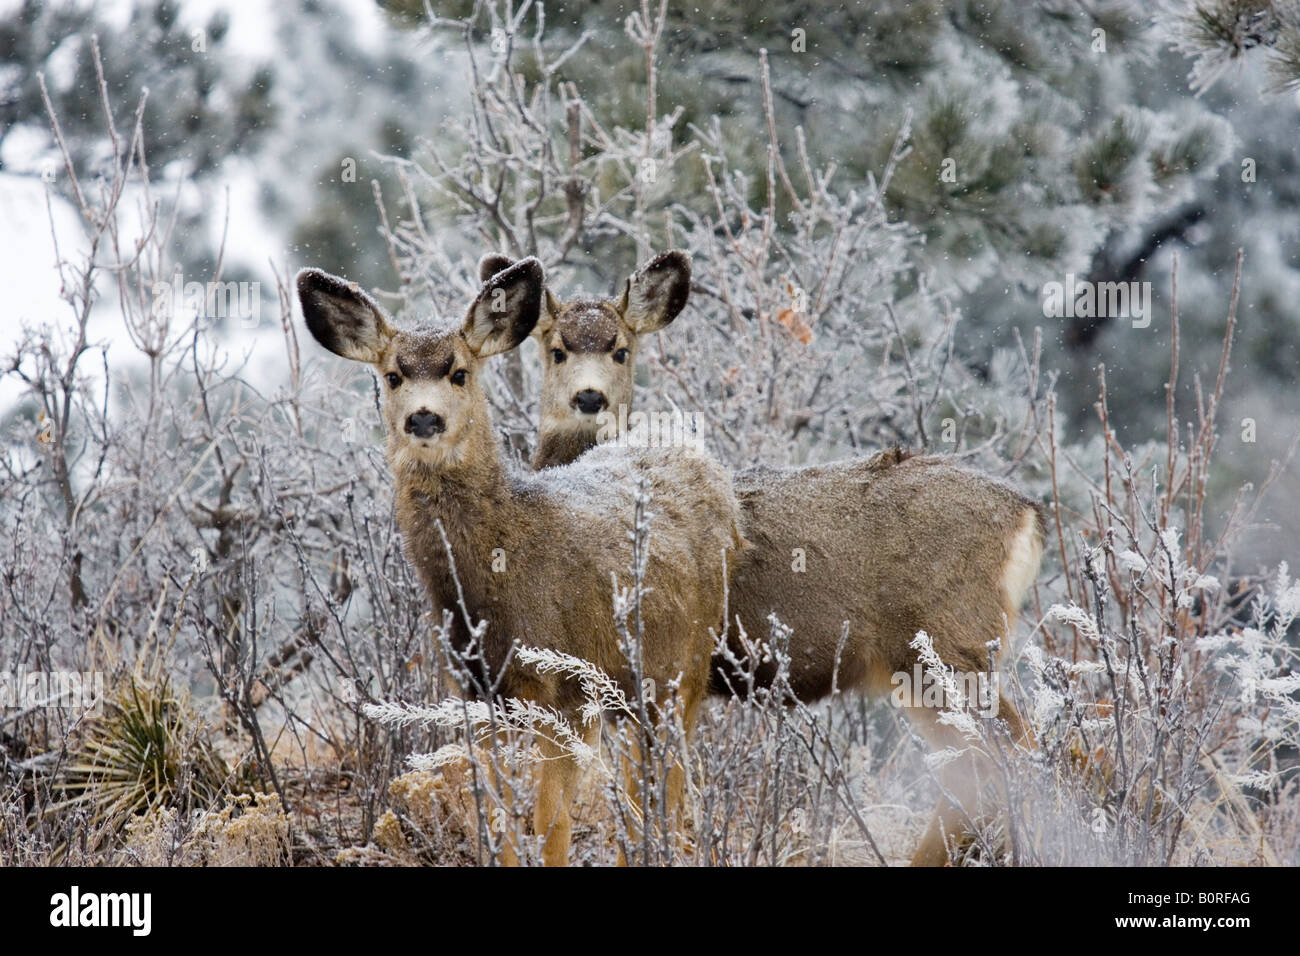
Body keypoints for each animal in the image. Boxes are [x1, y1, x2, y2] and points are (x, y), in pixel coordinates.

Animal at [296, 257, 747, 866]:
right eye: (392, 375)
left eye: (460, 372)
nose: (423, 419)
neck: (505, 564)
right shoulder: (482, 691)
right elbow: (501, 817)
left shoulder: (564, 686)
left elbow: (551, 823)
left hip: (687, 664)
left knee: (669, 789)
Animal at [482, 249, 1046, 866]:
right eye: (556, 348)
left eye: (621, 348)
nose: (589, 398)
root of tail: (1028, 515)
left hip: (950, 643)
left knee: (1009, 753)